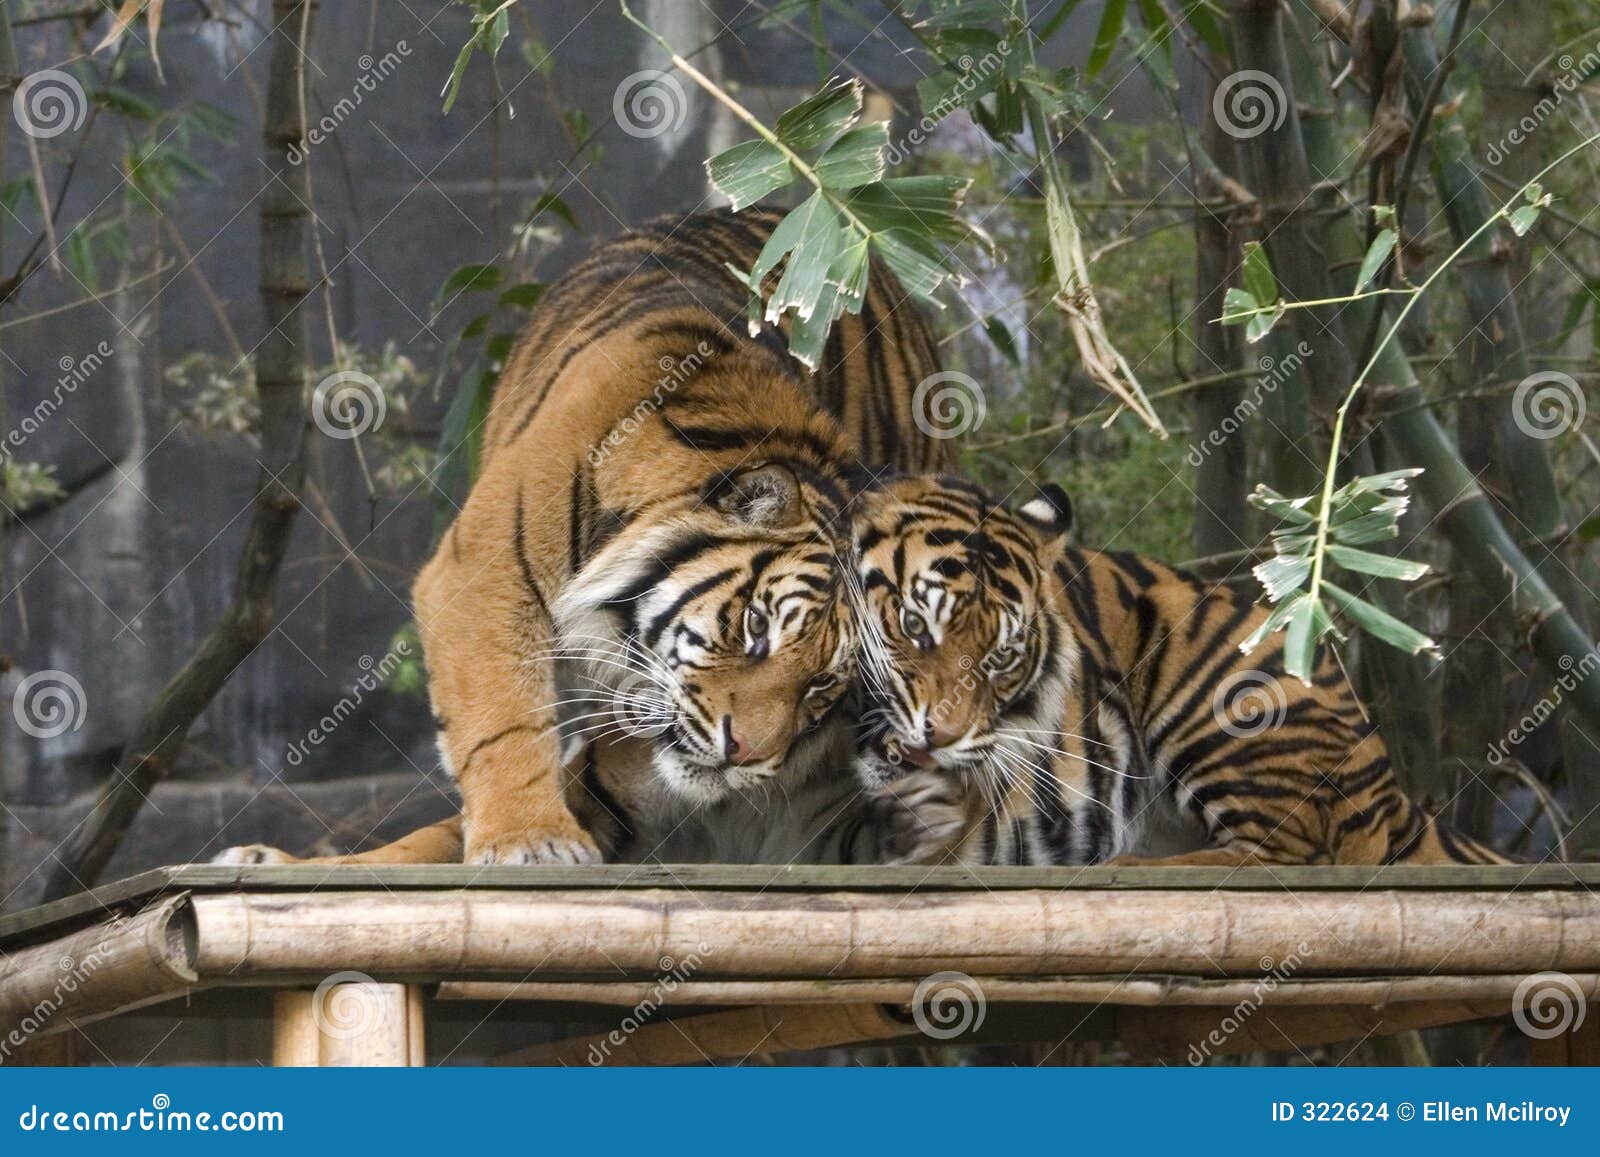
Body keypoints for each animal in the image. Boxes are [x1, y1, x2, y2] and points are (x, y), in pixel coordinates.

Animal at [215, 206, 952, 869]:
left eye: (822, 685)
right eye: (754, 628)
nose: (744, 754)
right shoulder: (485, 571)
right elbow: (503, 717)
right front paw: (529, 839)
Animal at [848, 473, 1510, 867]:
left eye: (1001, 659)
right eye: (914, 626)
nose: (940, 738)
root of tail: (1398, 797)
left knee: (1282, 856)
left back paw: (1125, 865)